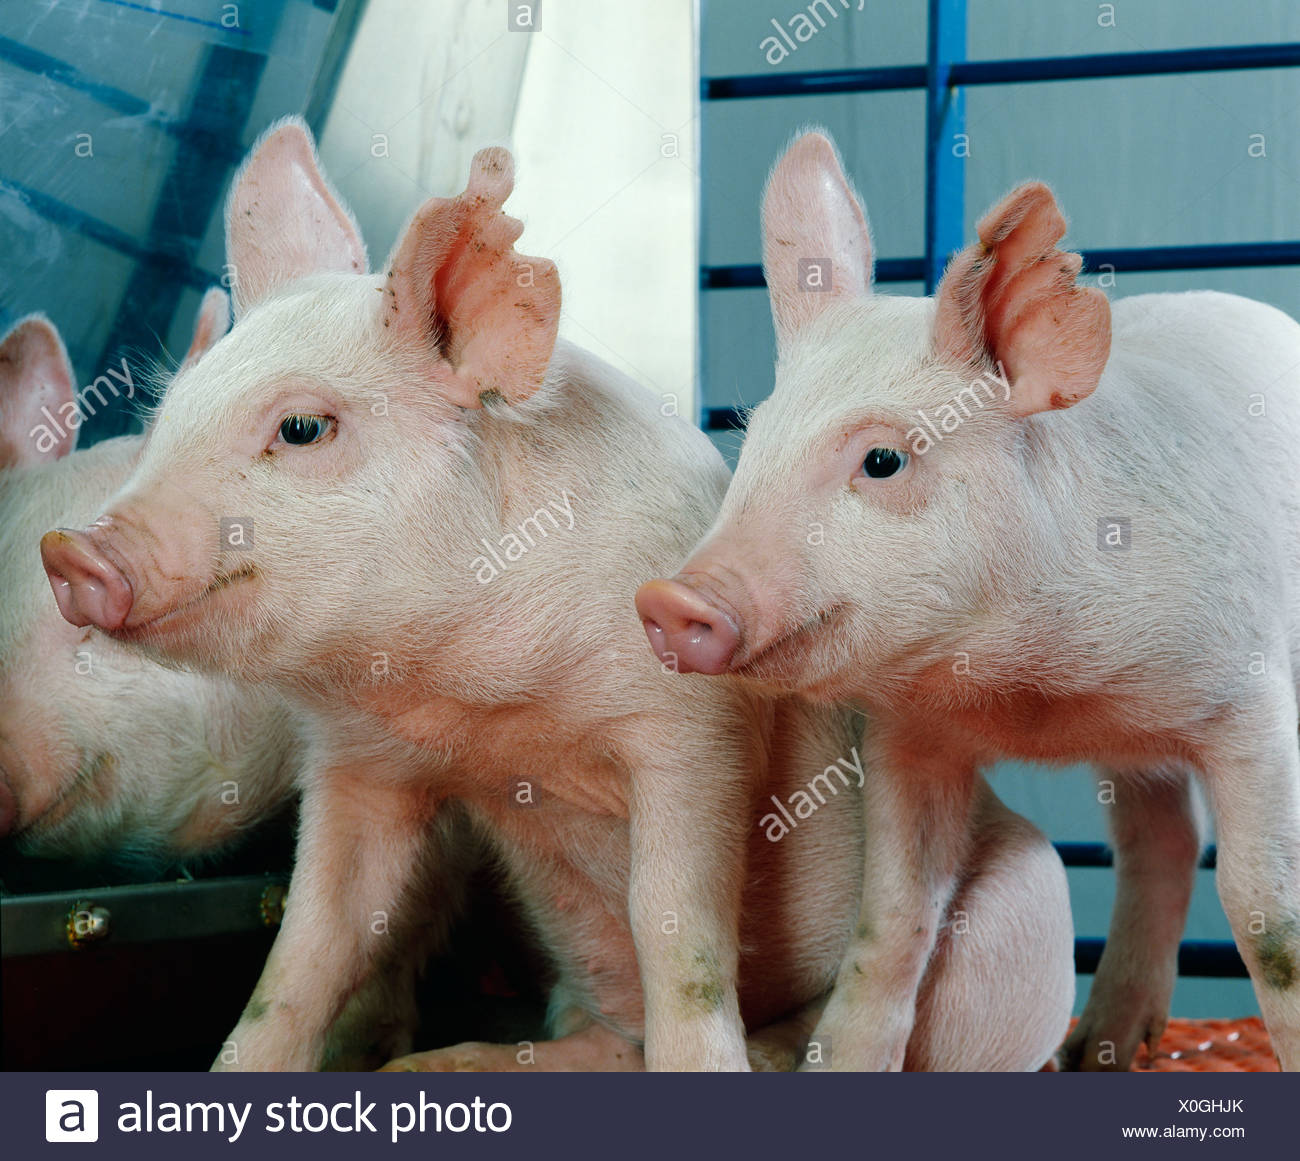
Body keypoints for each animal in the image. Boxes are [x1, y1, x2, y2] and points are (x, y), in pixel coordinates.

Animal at [41, 119, 1073, 1071]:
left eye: (302, 427)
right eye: (168, 413)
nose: (72, 551)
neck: (481, 711)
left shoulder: (695, 727)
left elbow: (675, 926)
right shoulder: (361, 762)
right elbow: (308, 945)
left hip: (1028, 915)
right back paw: (446, 1061)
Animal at [635, 128, 1300, 1071]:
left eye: (882, 459)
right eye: (751, 439)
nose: (668, 597)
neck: (1033, 695)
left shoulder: (1249, 694)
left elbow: (1268, 919)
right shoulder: (911, 737)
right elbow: (891, 919)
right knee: (1161, 839)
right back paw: (1092, 1050)